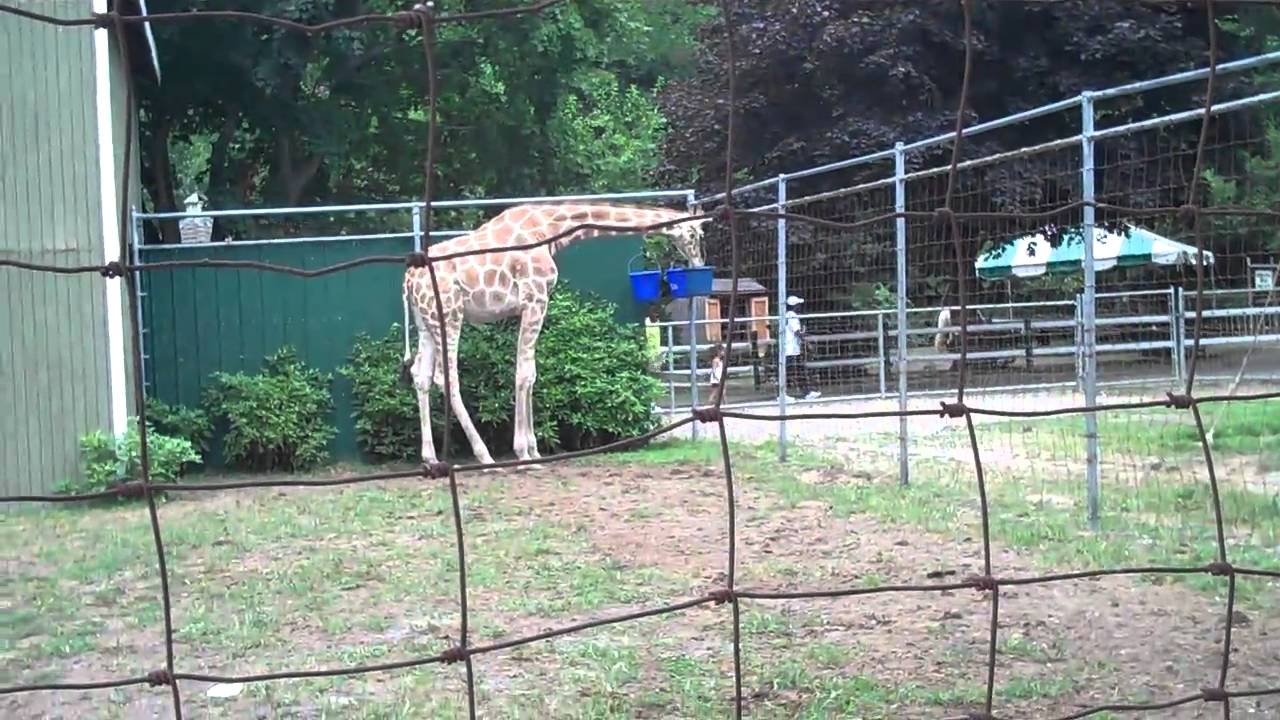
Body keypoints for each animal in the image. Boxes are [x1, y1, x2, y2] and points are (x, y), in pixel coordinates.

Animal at [401, 202, 710, 466]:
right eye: (695, 233)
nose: (698, 262)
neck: (548, 228)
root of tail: (408, 281)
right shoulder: (535, 300)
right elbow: (524, 373)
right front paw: (524, 453)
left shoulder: (529, 305)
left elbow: (531, 372)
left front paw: (534, 450)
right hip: (450, 315)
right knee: (446, 377)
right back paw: (484, 456)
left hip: (426, 322)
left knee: (420, 375)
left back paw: (430, 457)